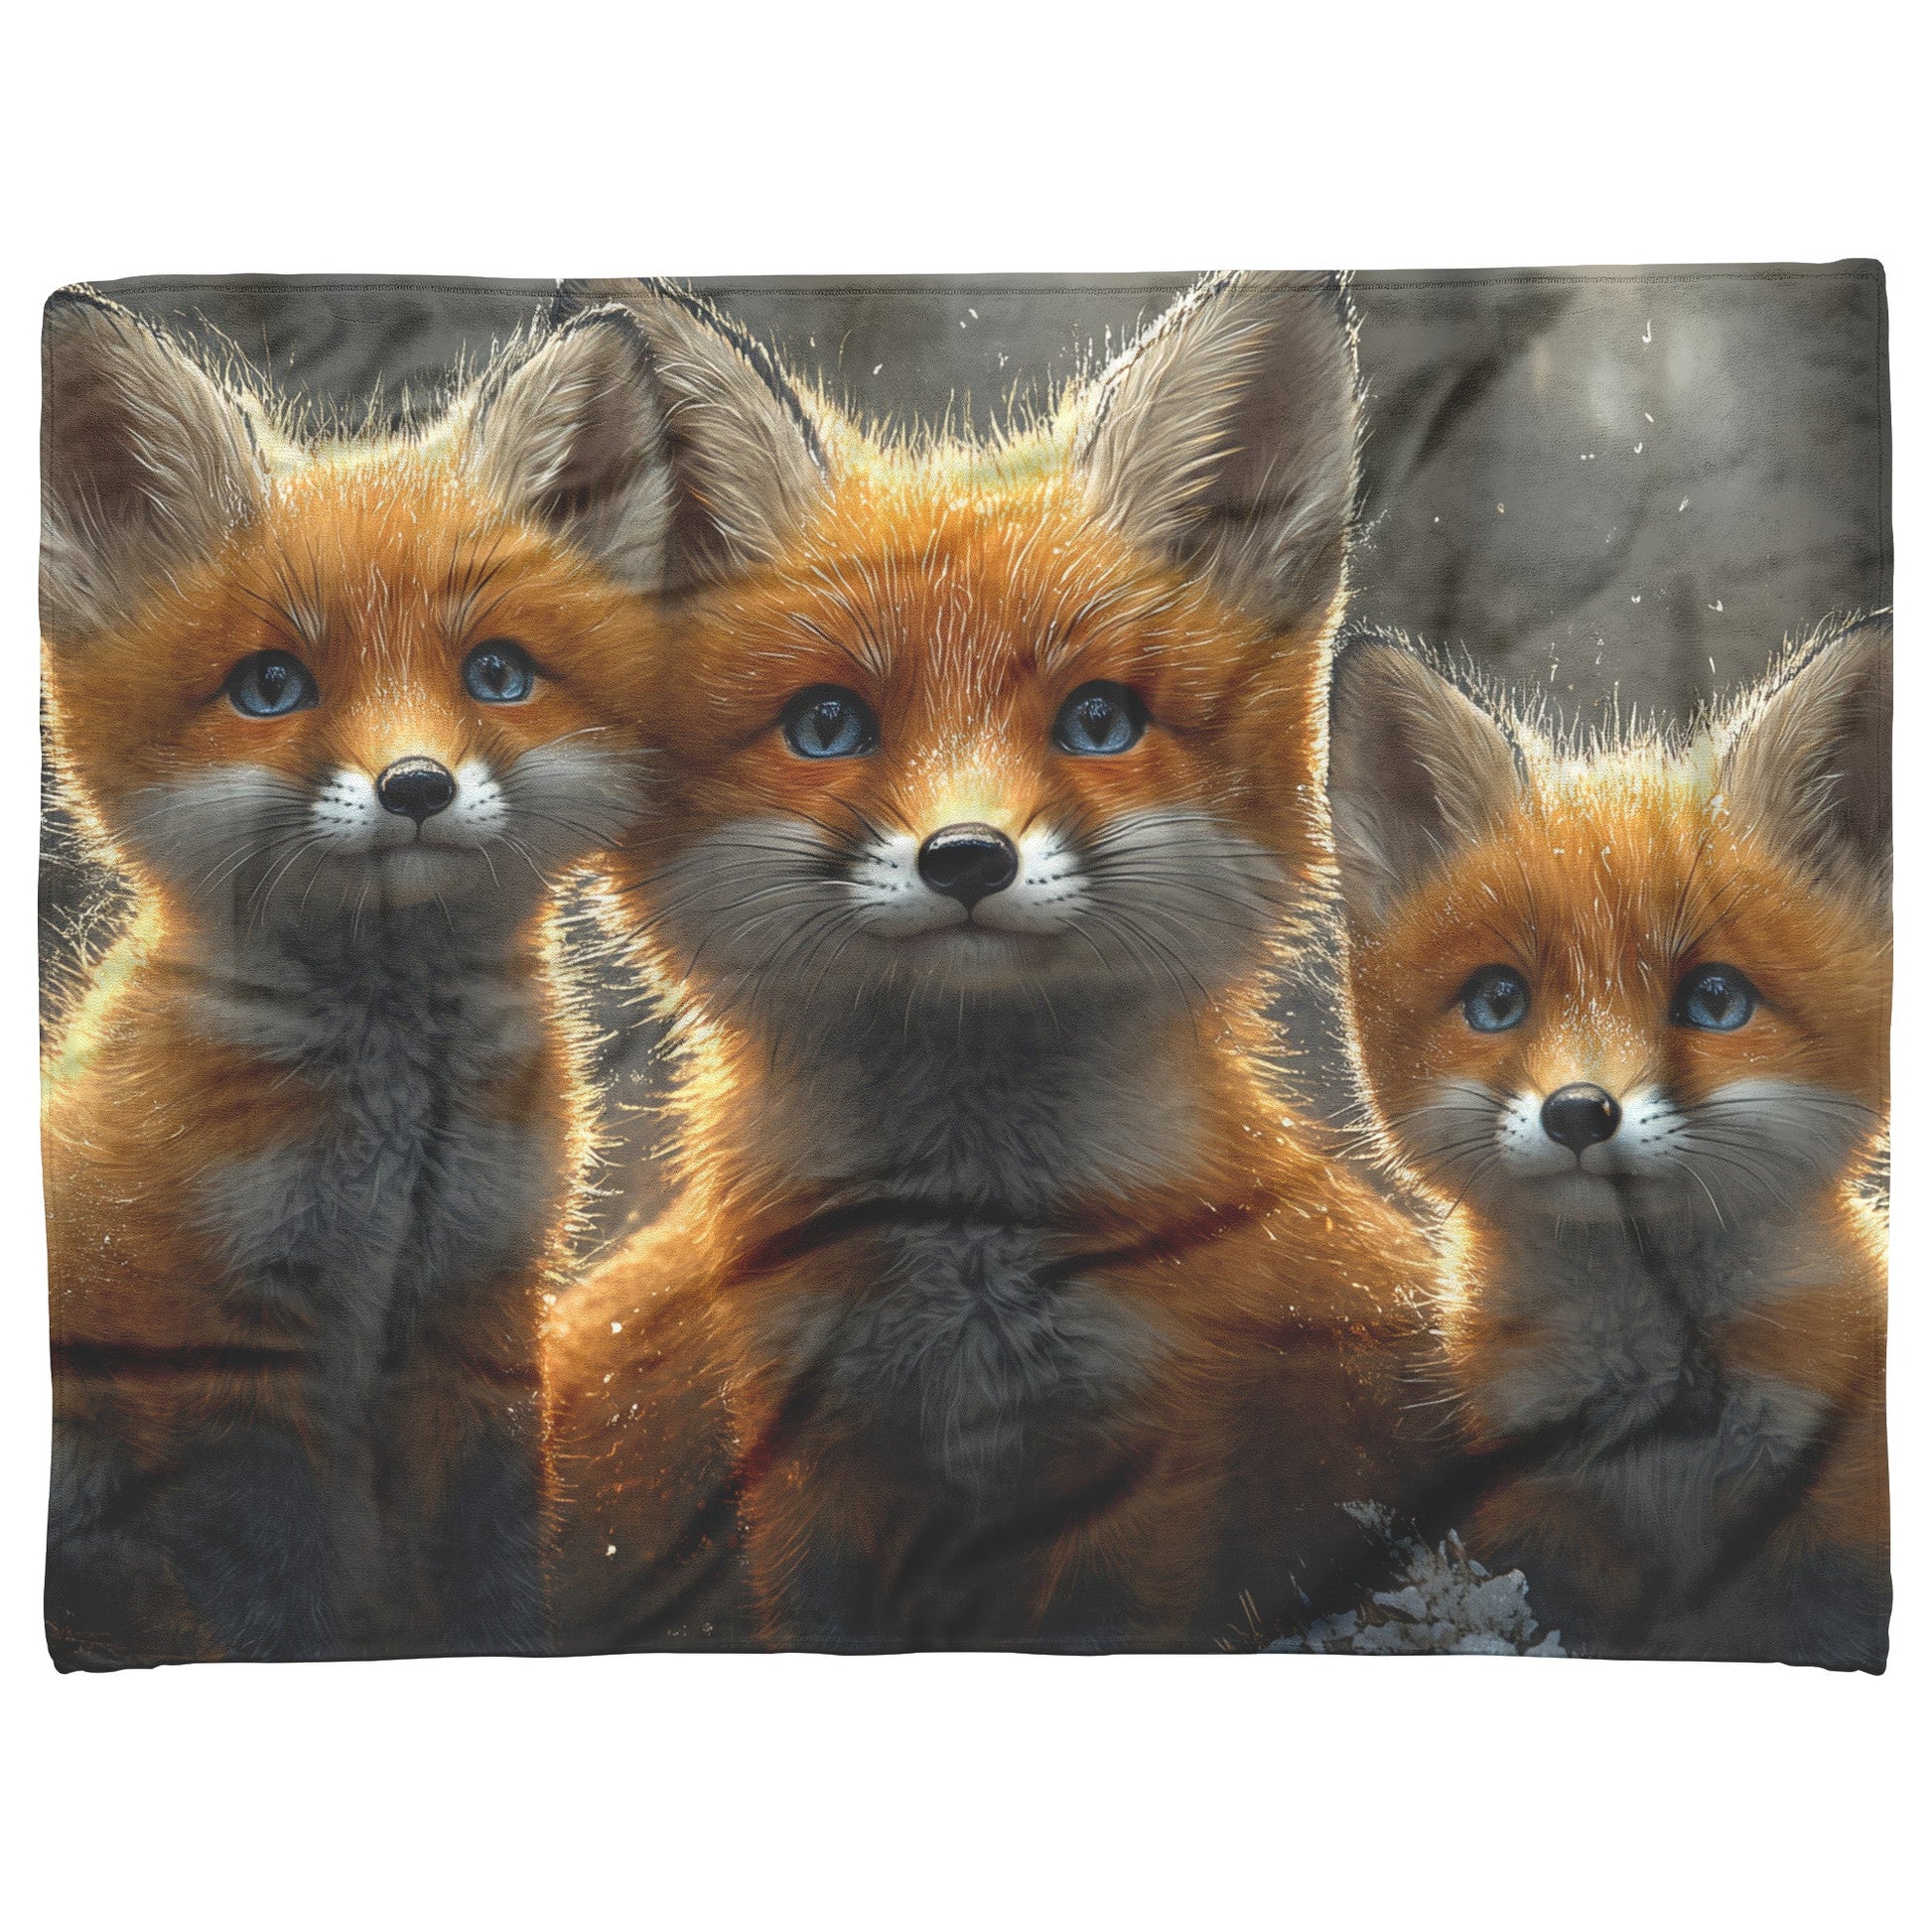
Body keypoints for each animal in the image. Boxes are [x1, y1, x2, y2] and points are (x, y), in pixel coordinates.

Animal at [39, 290, 683, 1665]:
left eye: (497, 673)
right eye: (271, 686)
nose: (416, 786)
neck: (399, 1155)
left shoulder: (476, 1314)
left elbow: (491, 1571)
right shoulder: (216, 1368)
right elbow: (279, 1597)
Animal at [542, 273, 1452, 1651]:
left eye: (1098, 720)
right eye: (827, 724)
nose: (965, 856)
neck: (966, 1259)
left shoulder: (1150, 1458)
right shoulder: (802, 1452)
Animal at [1326, 617, 1891, 1667]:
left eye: (1715, 1000)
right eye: (1497, 1001)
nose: (1580, 1111)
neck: (1668, 1421)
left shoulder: (1836, 1520)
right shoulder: (1536, 1522)